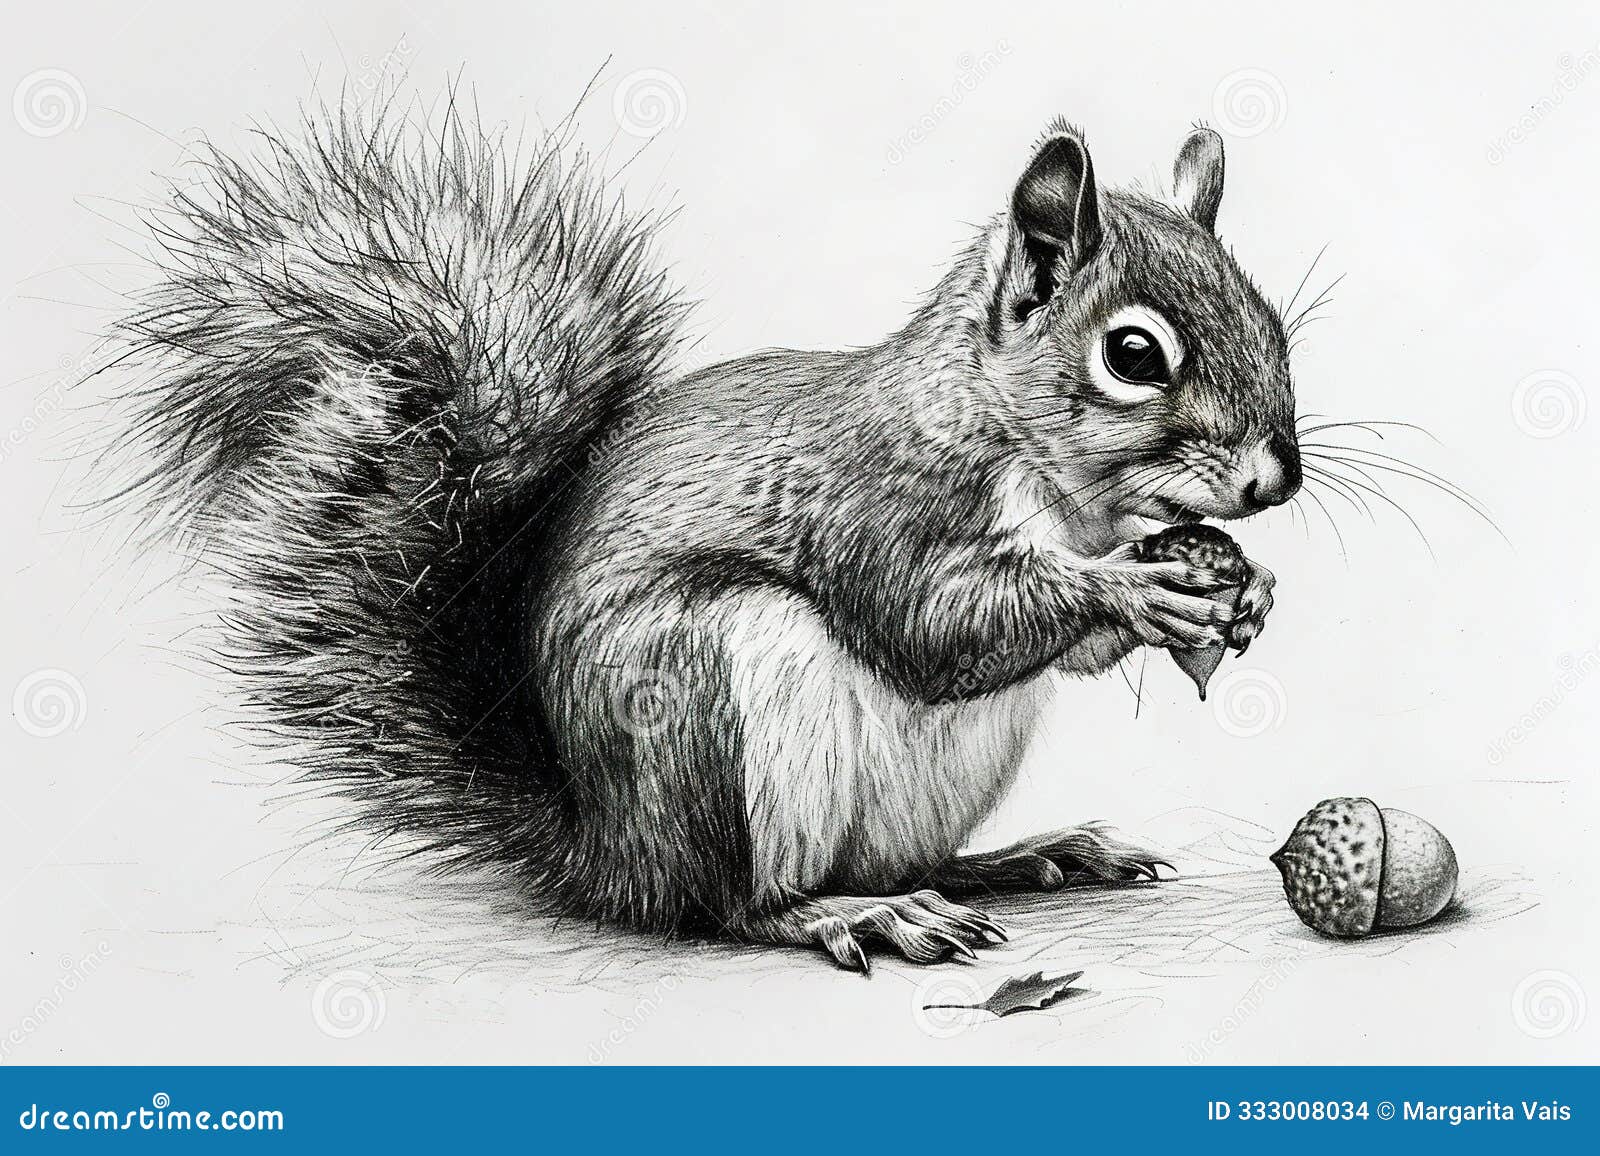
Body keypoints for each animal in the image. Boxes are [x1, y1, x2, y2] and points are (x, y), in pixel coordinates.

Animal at [113, 101, 1300, 972]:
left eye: (1273, 323)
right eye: (1134, 355)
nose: (1275, 478)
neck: (1060, 491)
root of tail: (603, 850)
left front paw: (1242, 587)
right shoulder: (880, 501)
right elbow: (929, 627)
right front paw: (1134, 589)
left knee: (895, 860)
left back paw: (1020, 859)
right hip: (712, 691)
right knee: (728, 904)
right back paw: (845, 916)